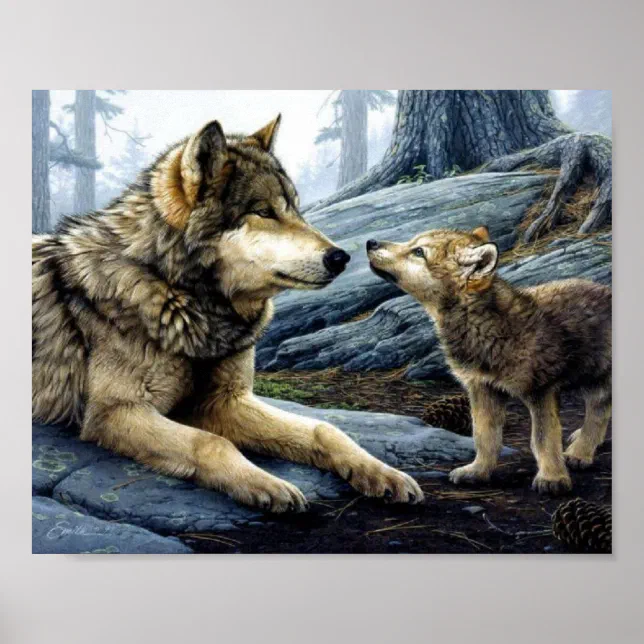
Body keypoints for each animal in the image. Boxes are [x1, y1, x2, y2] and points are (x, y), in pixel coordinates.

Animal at [32, 116, 423, 512]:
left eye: (296, 210)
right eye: (264, 212)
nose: (341, 257)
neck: (182, 297)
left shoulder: (225, 401)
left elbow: (323, 428)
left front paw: (381, 472)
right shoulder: (113, 413)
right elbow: (212, 442)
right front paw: (268, 485)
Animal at [367, 226, 611, 495]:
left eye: (419, 252)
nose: (370, 242)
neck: (489, 327)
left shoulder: (540, 391)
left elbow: (543, 439)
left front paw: (552, 478)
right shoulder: (481, 388)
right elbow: (485, 437)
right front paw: (477, 471)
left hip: (599, 379)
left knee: (598, 412)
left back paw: (580, 453)